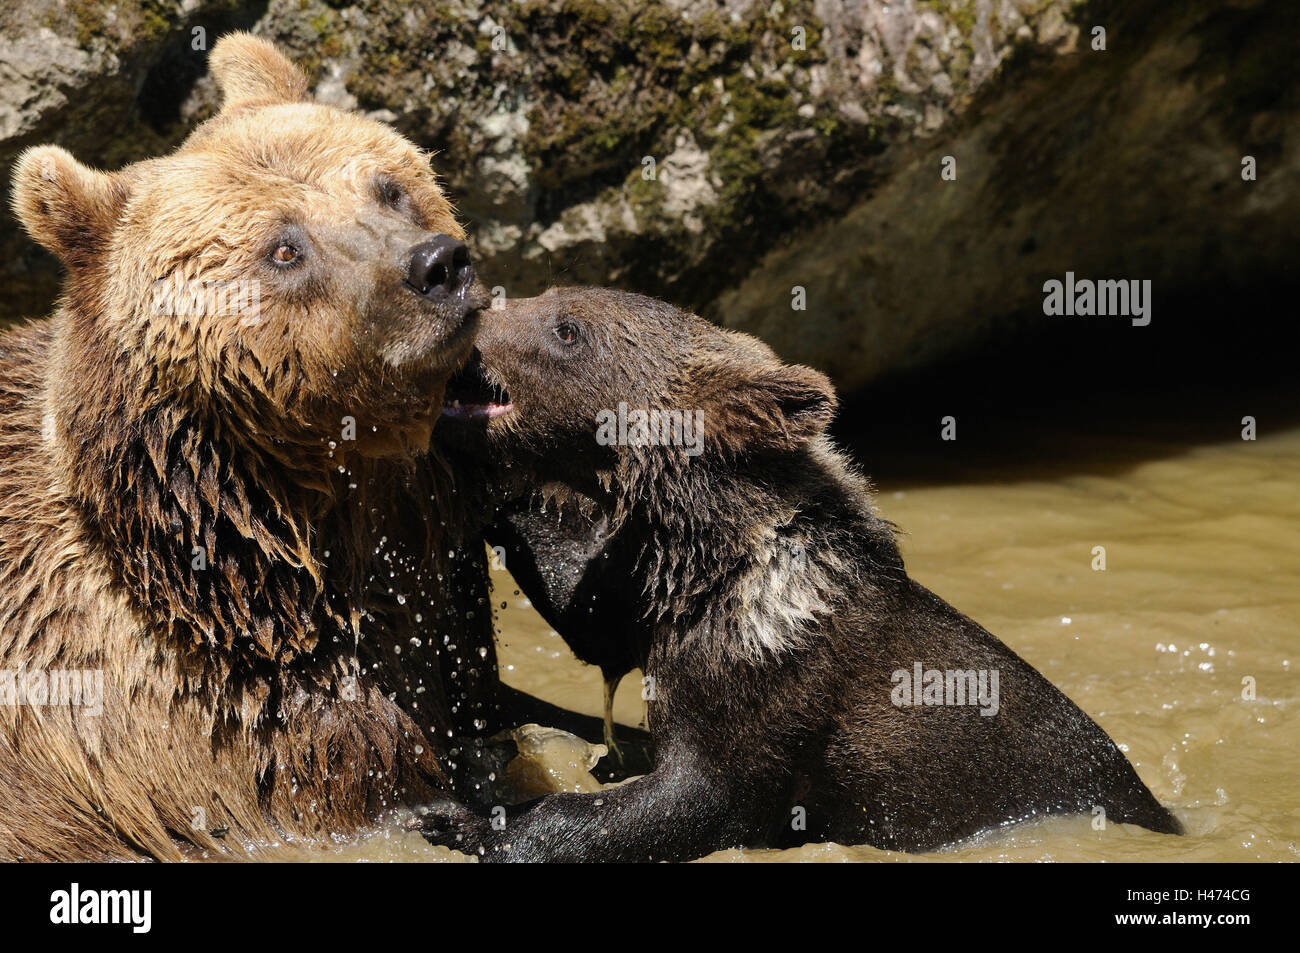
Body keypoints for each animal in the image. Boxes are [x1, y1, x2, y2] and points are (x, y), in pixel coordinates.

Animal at [423, 286, 1182, 862]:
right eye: (547, 296)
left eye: (568, 329)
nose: (472, 312)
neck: (713, 554)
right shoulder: (650, 593)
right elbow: (589, 612)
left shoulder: (765, 683)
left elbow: (688, 801)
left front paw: (464, 820)